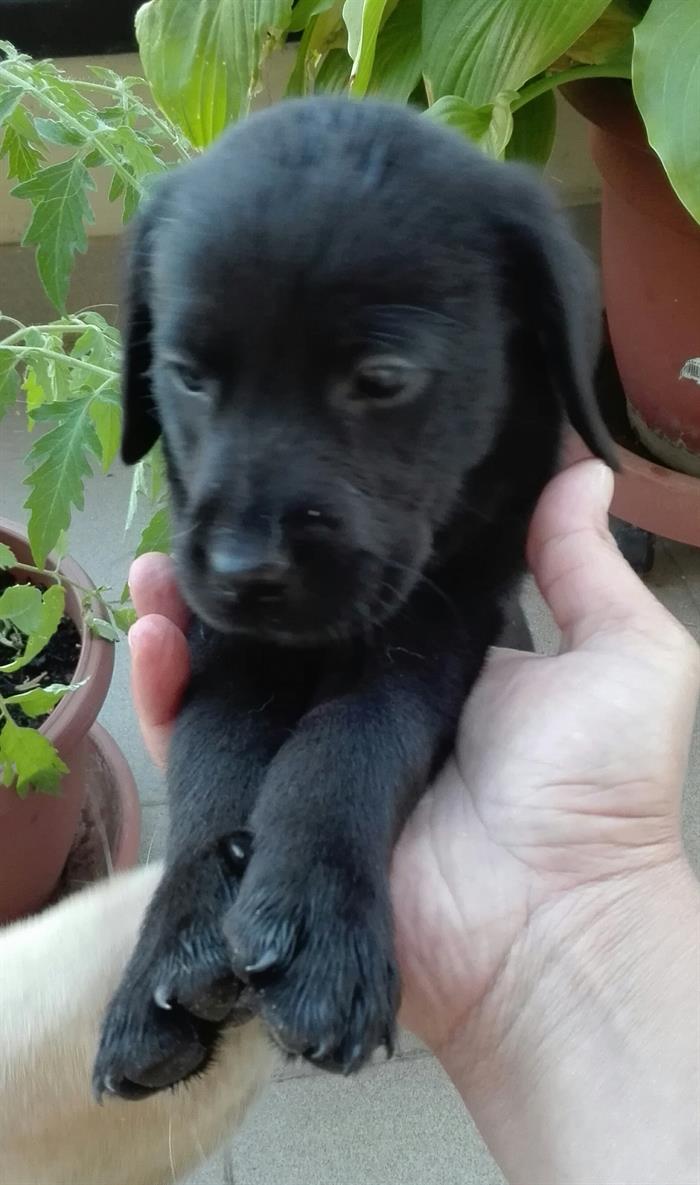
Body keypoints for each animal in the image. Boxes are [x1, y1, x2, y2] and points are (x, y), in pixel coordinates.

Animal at [92, 94, 615, 1099]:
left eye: (381, 380)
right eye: (186, 375)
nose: (244, 565)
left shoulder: (451, 610)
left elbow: (356, 730)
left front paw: (317, 921)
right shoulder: (216, 635)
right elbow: (214, 749)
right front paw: (171, 947)